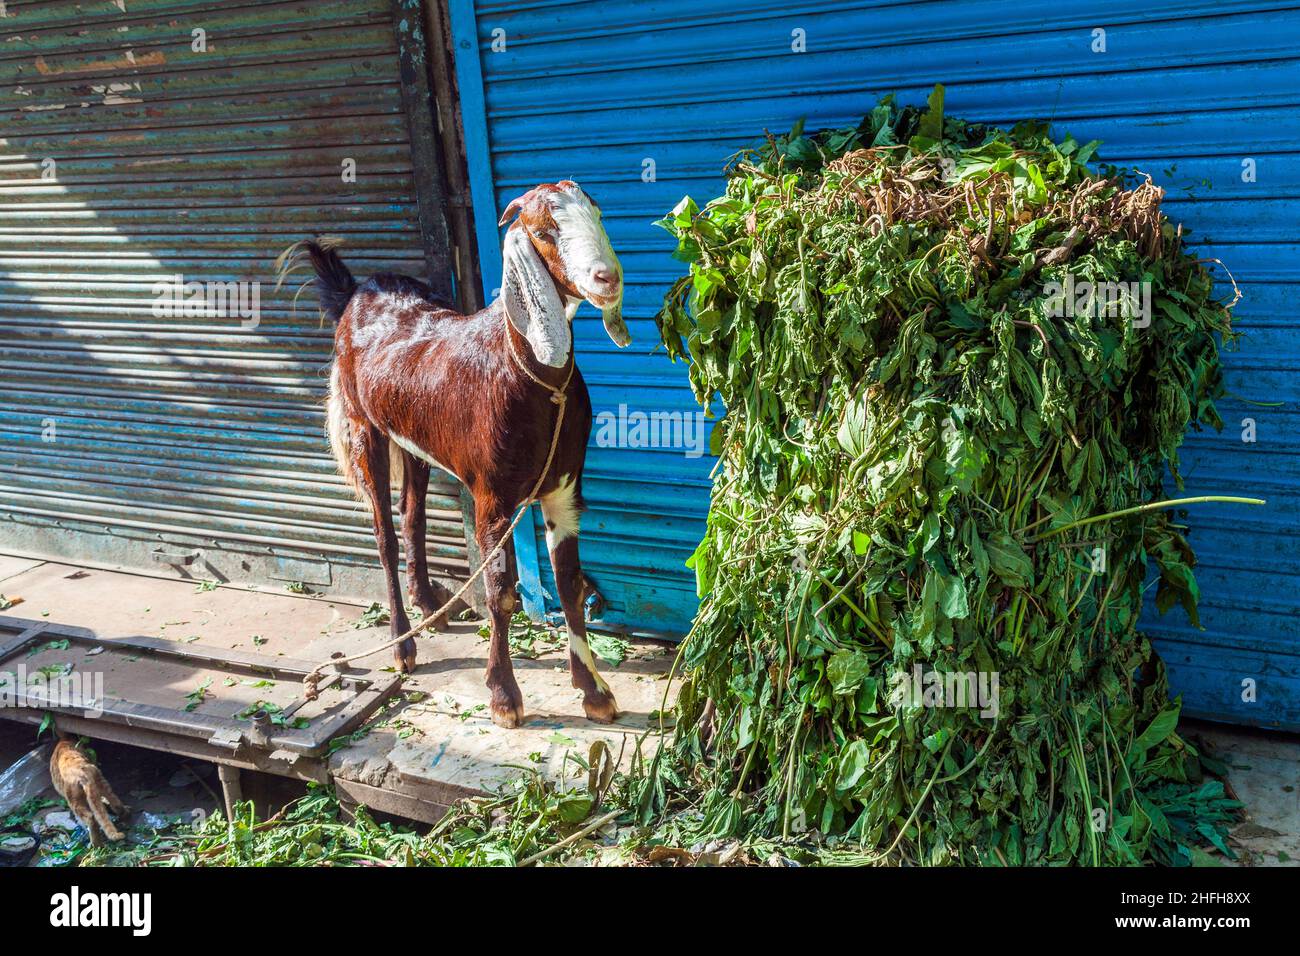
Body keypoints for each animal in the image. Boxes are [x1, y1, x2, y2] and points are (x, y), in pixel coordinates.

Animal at [302, 180, 629, 728]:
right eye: (544, 231)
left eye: (600, 215)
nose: (608, 277)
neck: (530, 379)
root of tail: (356, 293)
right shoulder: (491, 495)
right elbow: (499, 591)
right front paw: (503, 697)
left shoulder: (564, 487)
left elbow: (569, 583)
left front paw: (594, 692)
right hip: (365, 427)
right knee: (384, 534)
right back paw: (402, 645)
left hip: (412, 440)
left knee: (412, 515)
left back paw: (428, 604)